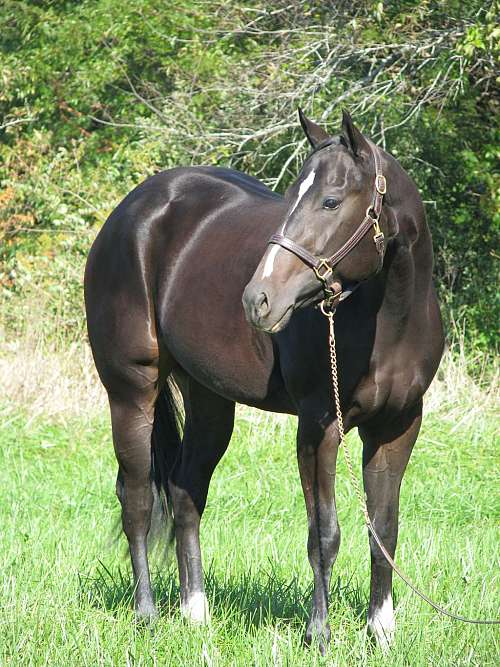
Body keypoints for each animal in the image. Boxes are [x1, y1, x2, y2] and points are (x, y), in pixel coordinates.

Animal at [84, 110, 444, 653]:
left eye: (330, 201)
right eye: (292, 194)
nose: (258, 300)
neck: (390, 320)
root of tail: (132, 211)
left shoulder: (398, 426)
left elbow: (383, 528)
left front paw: (381, 632)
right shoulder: (319, 428)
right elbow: (324, 534)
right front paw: (319, 634)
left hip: (209, 398)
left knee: (186, 490)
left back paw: (195, 614)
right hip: (131, 392)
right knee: (138, 498)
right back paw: (146, 615)